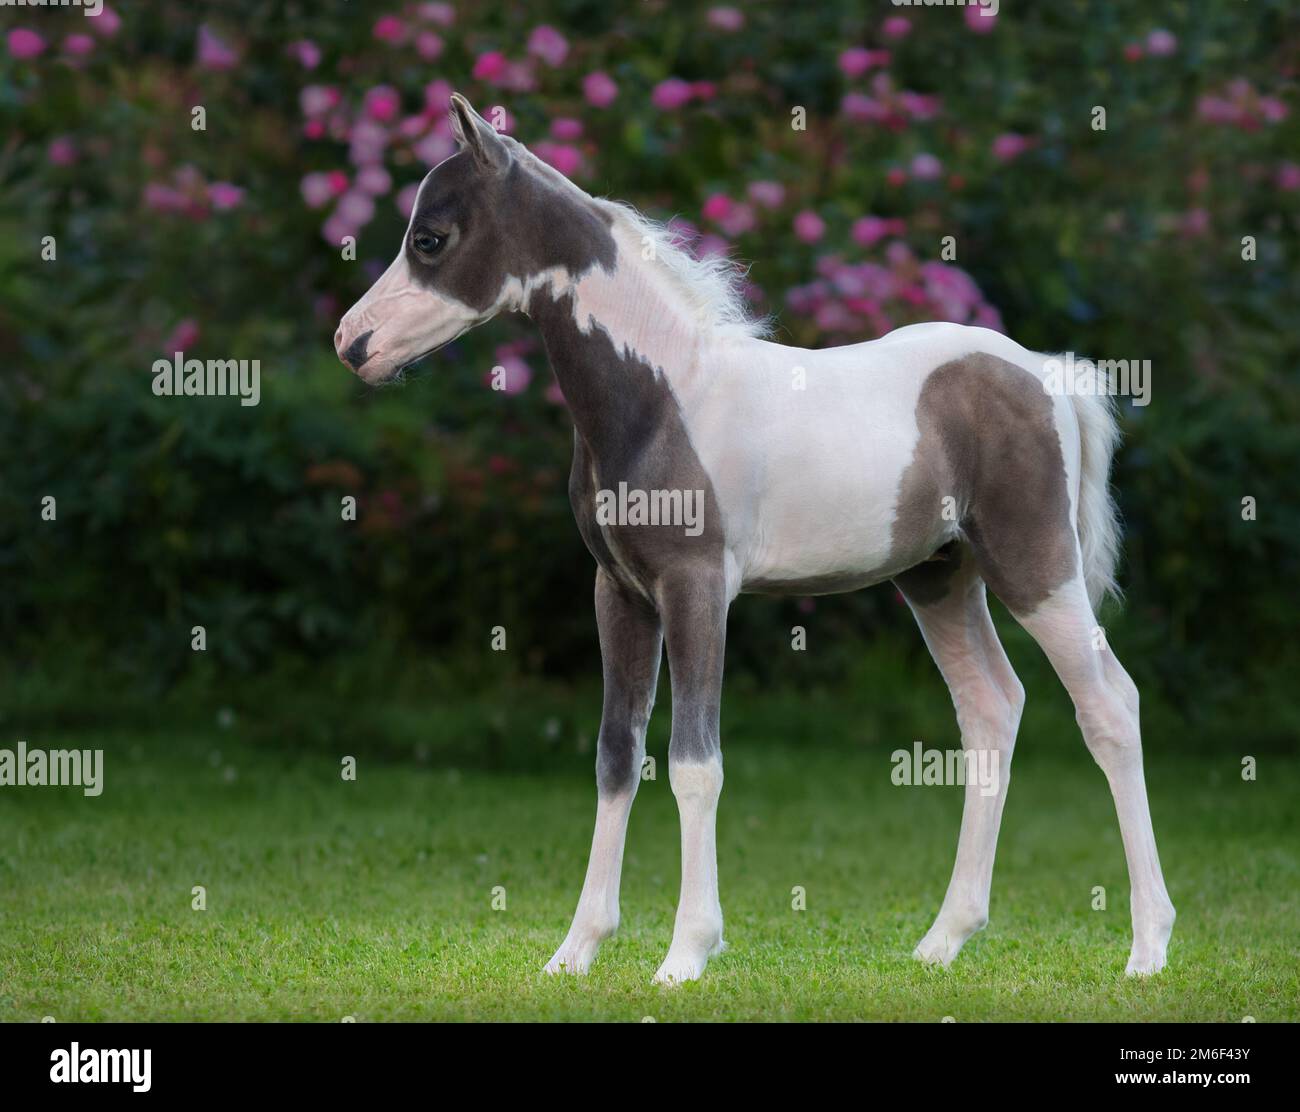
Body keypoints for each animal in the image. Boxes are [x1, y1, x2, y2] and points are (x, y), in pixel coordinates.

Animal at [334, 94, 1175, 985]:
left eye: (431, 238)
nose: (352, 342)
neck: (664, 394)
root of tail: (1048, 372)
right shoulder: (620, 594)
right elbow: (615, 756)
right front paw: (577, 949)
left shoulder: (697, 588)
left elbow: (694, 763)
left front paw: (686, 953)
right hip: (939, 578)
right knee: (991, 709)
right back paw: (944, 939)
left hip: (1036, 568)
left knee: (1109, 707)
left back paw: (1148, 947)